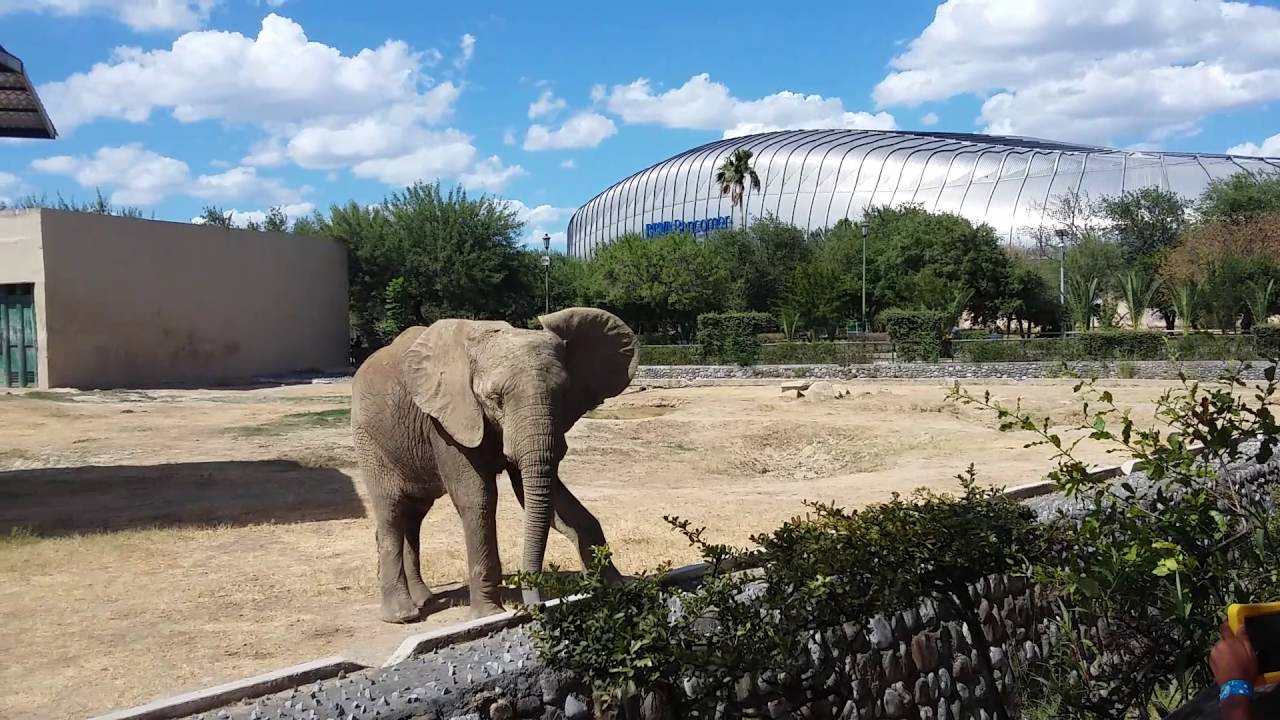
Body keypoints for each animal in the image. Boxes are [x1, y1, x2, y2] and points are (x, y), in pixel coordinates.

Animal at [350, 307, 635, 623]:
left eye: (564, 394)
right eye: (495, 399)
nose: (536, 608)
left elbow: (542, 495)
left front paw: (616, 586)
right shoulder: (447, 421)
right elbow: (478, 498)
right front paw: (487, 615)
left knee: (413, 515)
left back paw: (425, 599)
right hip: (369, 439)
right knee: (391, 511)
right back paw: (403, 615)